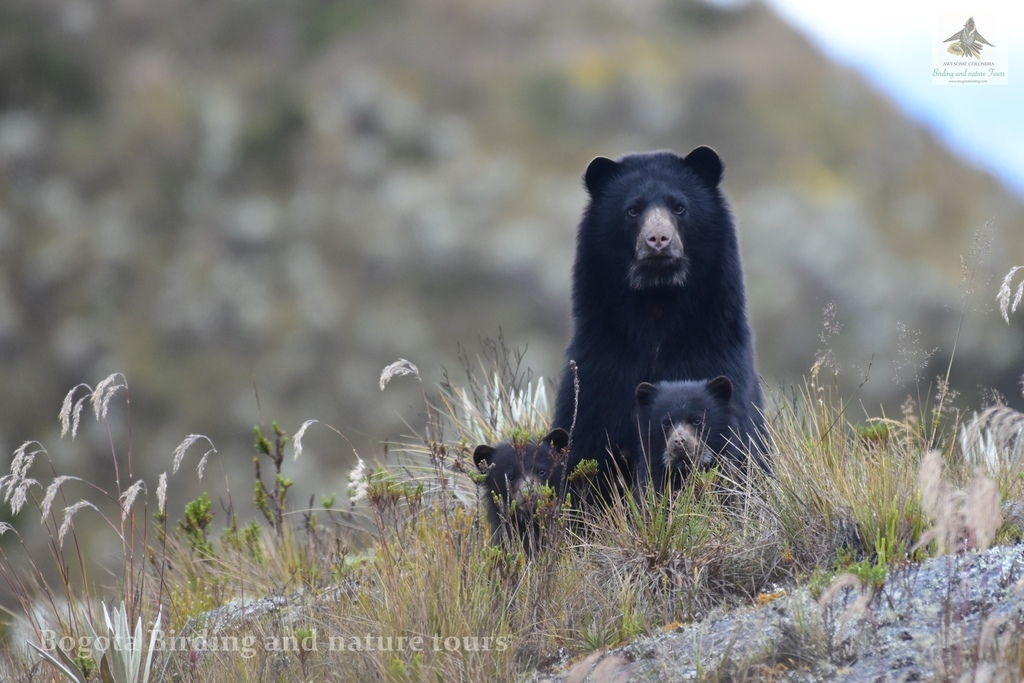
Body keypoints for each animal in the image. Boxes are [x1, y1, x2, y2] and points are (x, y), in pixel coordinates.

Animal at [552, 146, 769, 502]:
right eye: (632, 210)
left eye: (680, 206)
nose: (658, 239)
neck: (657, 306)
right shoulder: (600, 373)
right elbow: (586, 452)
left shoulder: (713, 354)